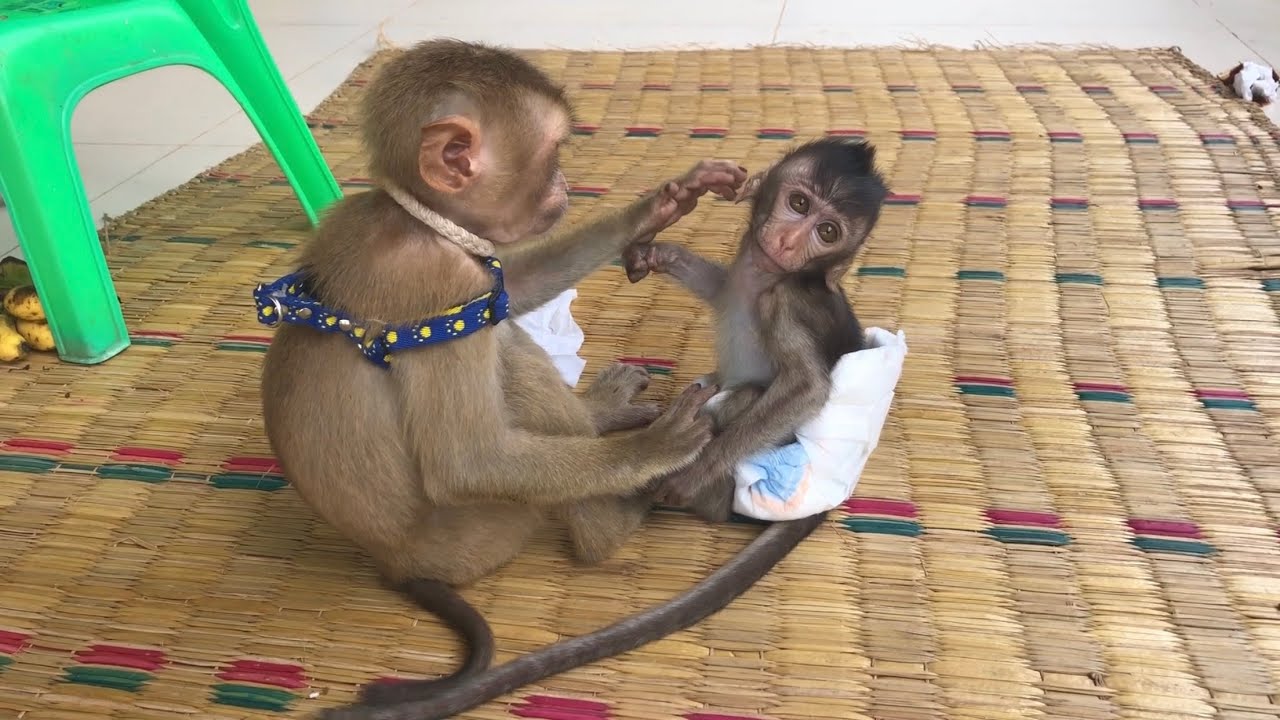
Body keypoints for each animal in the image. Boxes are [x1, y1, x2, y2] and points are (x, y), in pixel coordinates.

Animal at [256, 38, 743, 705]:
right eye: (554, 154)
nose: (564, 183)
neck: (420, 222)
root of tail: (398, 565)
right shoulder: (441, 286)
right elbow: (465, 461)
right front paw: (653, 450)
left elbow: (514, 286)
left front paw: (660, 205)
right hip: (486, 531)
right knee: (501, 355)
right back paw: (612, 526)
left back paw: (599, 415)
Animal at [312, 137, 889, 720]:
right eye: (799, 204)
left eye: (828, 233)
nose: (790, 241)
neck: (767, 278)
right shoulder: (747, 278)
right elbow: (721, 285)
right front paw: (659, 243)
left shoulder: (788, 300)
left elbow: (807, 388)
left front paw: (692, 470)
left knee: (744, 402)